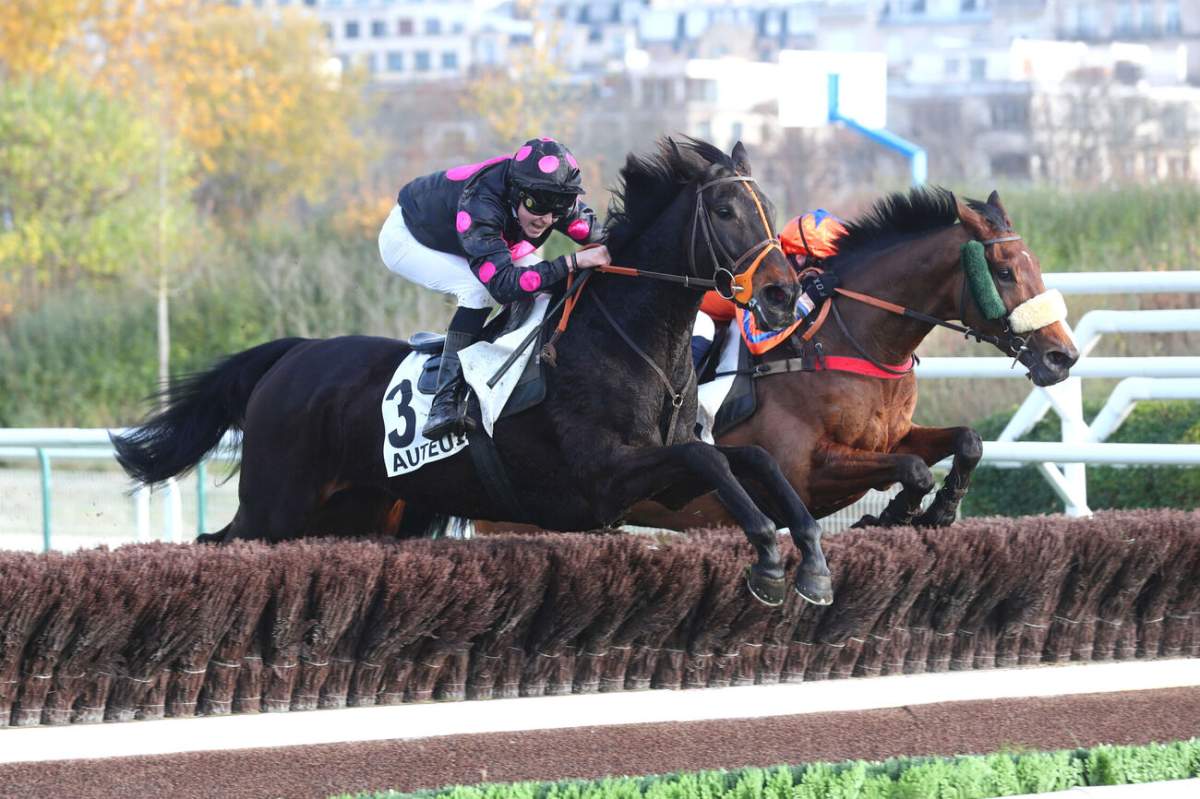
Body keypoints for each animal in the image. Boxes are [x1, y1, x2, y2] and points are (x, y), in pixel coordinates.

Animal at [112, 137, 835, 608]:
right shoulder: (604, 477)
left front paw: (813, 564)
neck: (628, 340)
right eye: (725, 212)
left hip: (358, 512)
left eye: (769, 210)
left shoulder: (665, 477)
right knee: (217, 541)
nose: (781, 294)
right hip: (275, 503)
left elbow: (750, 461)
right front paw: (769, 560)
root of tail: (292, 356)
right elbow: (712, 459)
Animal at [623, 187, 1079, 532]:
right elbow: (914, 469)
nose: (1063, 356)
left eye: (1036, 265)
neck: (849, 344)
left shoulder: (893, 438)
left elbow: (967, 441)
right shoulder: (804, 473)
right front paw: (895, 513)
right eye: (1003, 272)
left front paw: (939, 510)